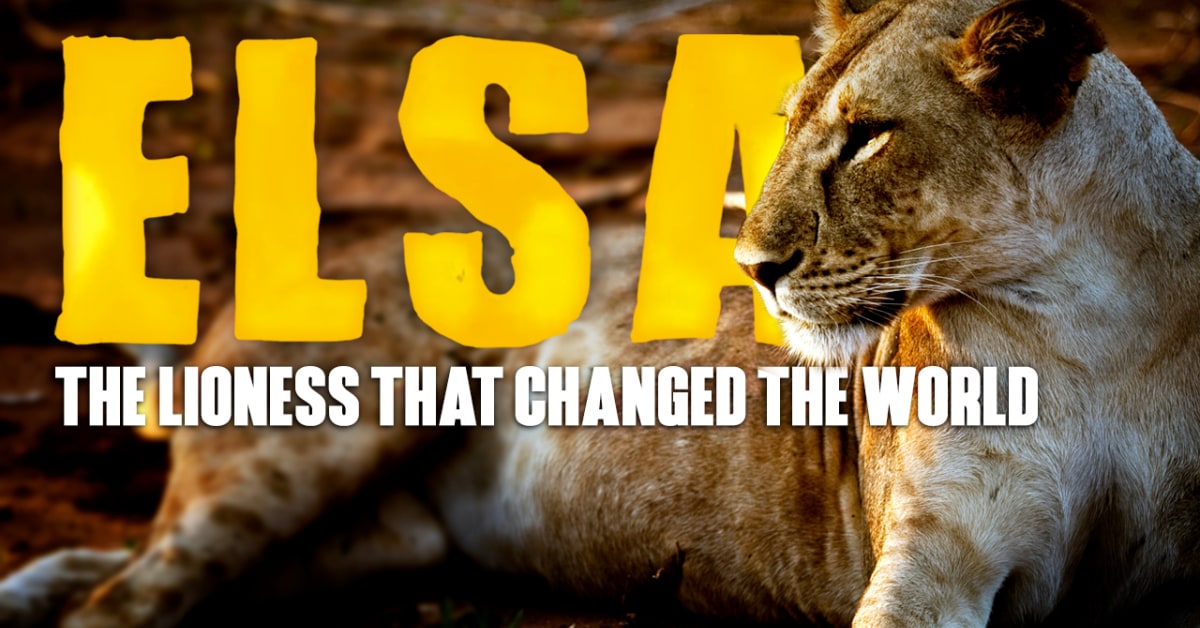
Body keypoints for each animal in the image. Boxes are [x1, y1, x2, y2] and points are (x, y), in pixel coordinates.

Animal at [2, 0, 1199, 626]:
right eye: (790, 119)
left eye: (867, 136)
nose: (753, 264)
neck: (1093, 323)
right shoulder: (933, 560)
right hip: (302, 444)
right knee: (120, 599)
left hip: (367, 542)